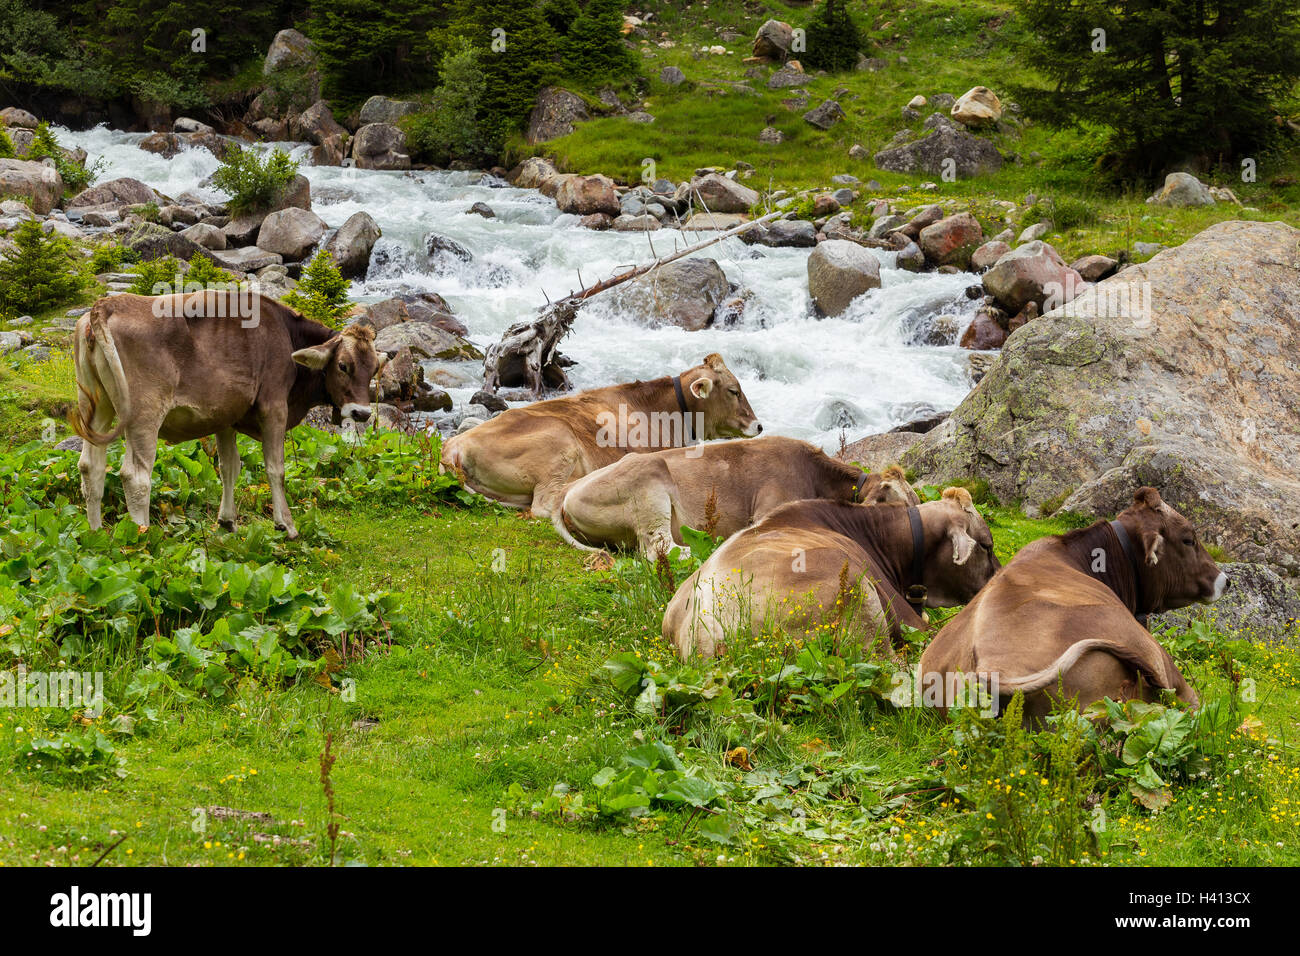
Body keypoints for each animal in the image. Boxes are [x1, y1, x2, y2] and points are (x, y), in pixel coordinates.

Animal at [70, 290, 385, 539]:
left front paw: (227, 522)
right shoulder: (274, 406)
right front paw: (286, 525)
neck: (285, 333)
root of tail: (106, 304)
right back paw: (142, 538)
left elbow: (229, 467)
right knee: (135, 477)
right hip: (144, 414)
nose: (361, 412)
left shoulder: (225, 416)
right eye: (343, 365)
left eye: (373, 369)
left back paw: (96, 535)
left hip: (96, 408)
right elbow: (276, 468)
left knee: (90, 467)